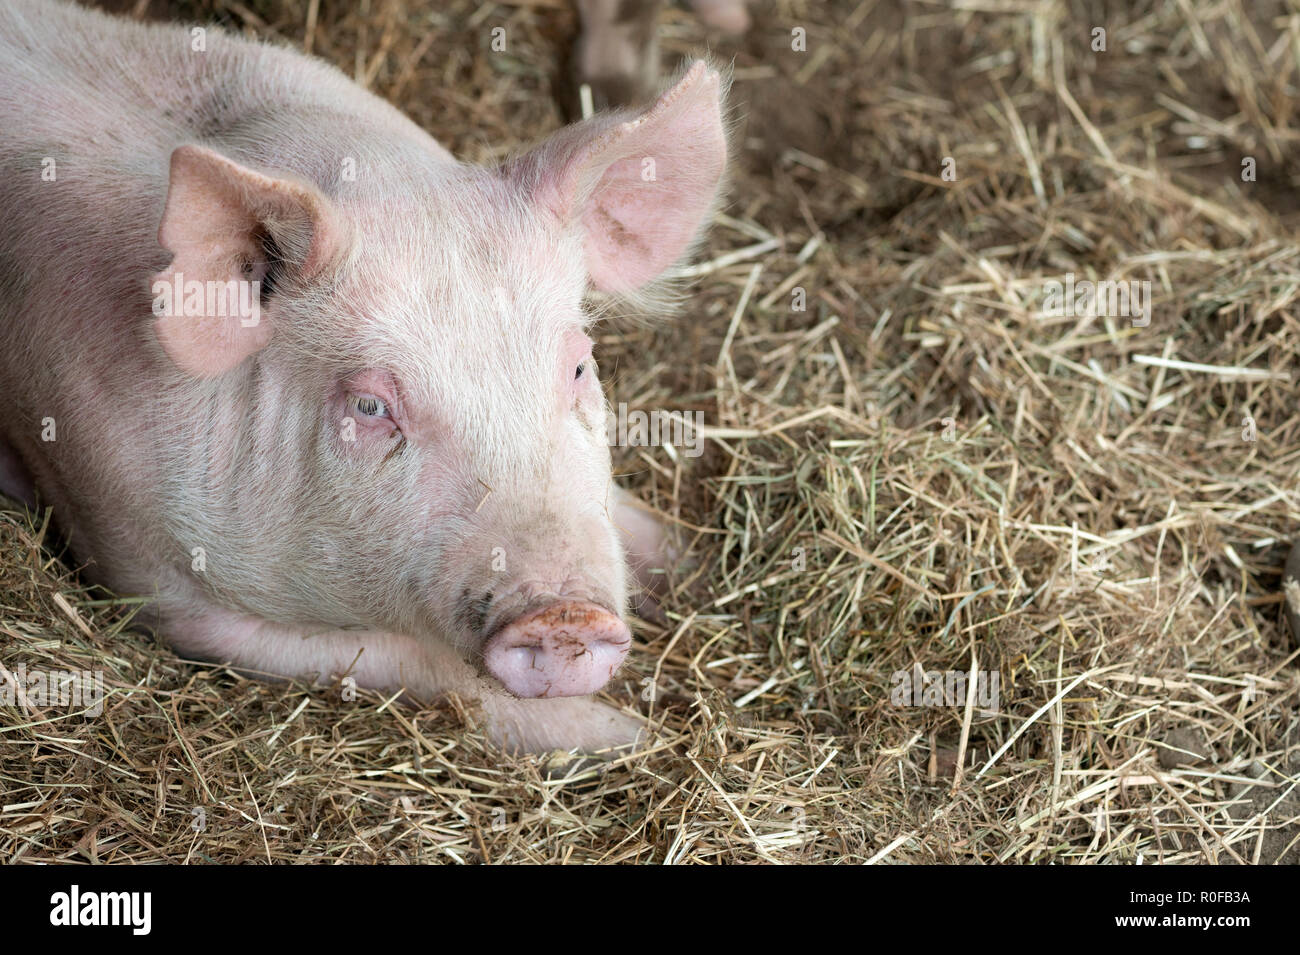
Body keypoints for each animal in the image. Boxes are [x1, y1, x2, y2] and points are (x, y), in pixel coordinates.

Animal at [0, 0, 727, 754]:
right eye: (371, 406)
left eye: (579, 366)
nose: (564, 617)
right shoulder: (154, 579)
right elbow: (422, 663)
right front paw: (630, 733)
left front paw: (698, 564)